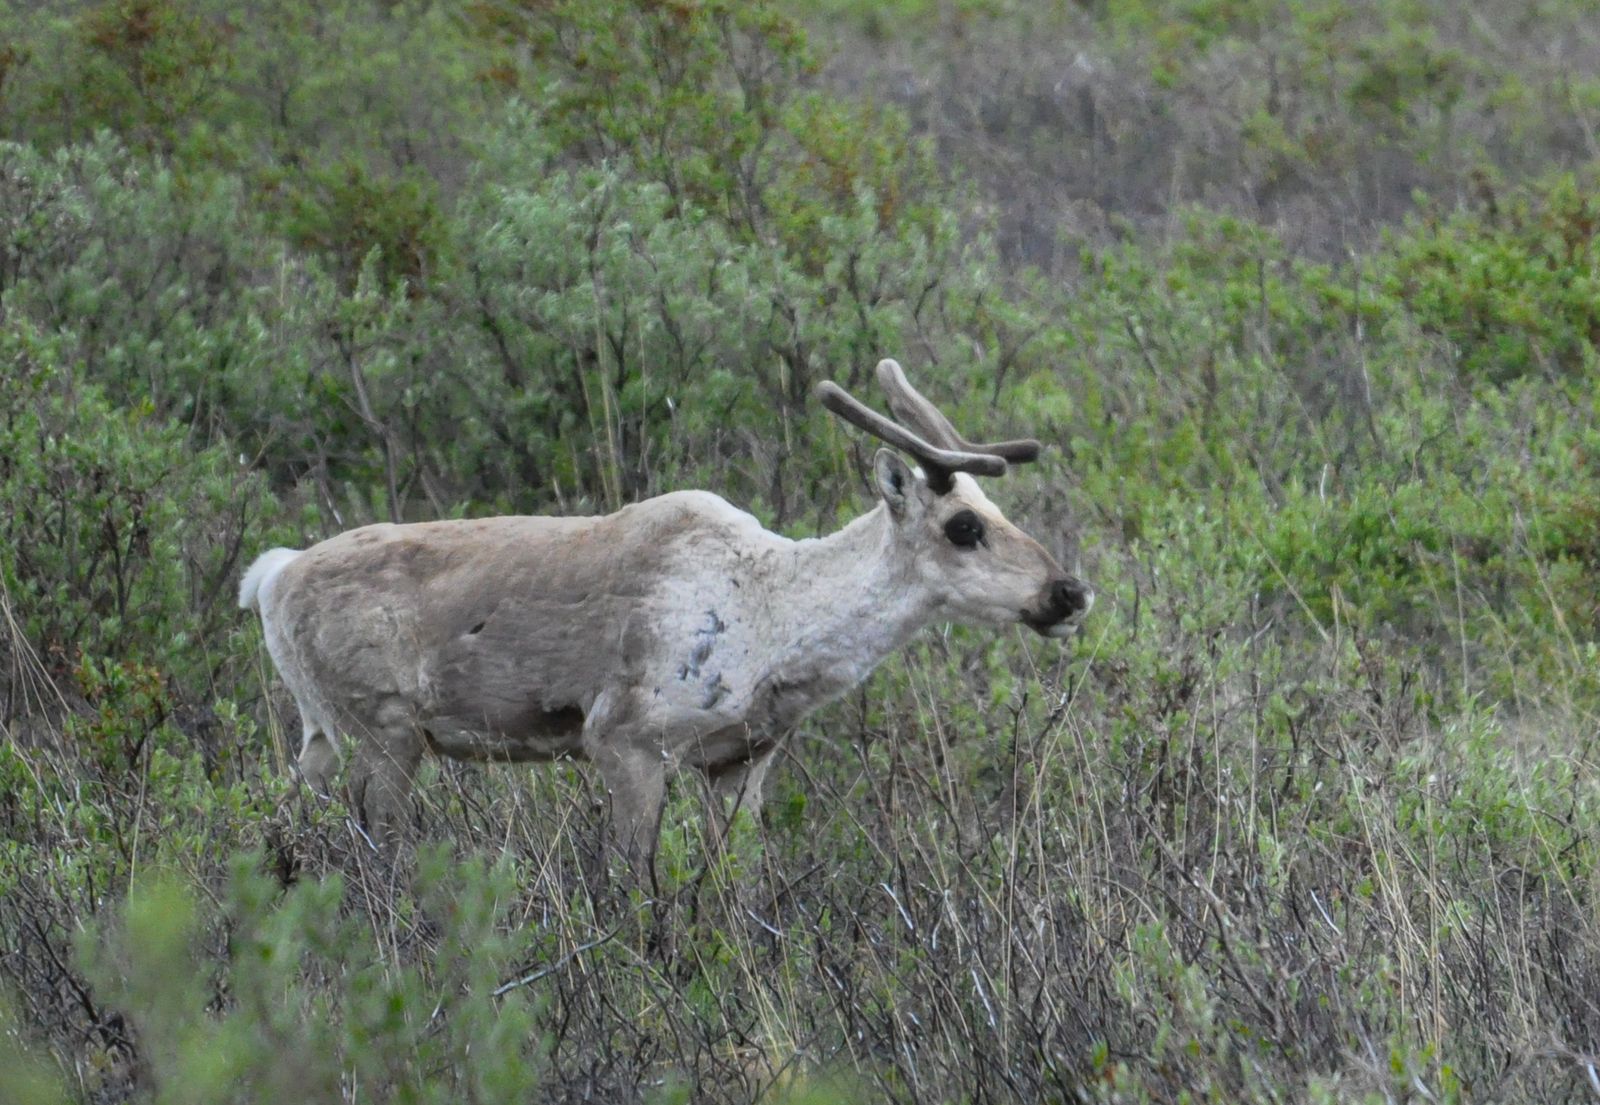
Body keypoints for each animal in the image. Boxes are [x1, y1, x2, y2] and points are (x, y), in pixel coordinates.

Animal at [238, 359, 1092, 870]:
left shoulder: (742, 760)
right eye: (964, 526)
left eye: (998, 508)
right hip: (381, 729)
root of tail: (270, 577)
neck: (778, 628)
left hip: (321, 732)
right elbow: (630, 889)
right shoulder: (624, 737)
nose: (1070, 593)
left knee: (278, 824)